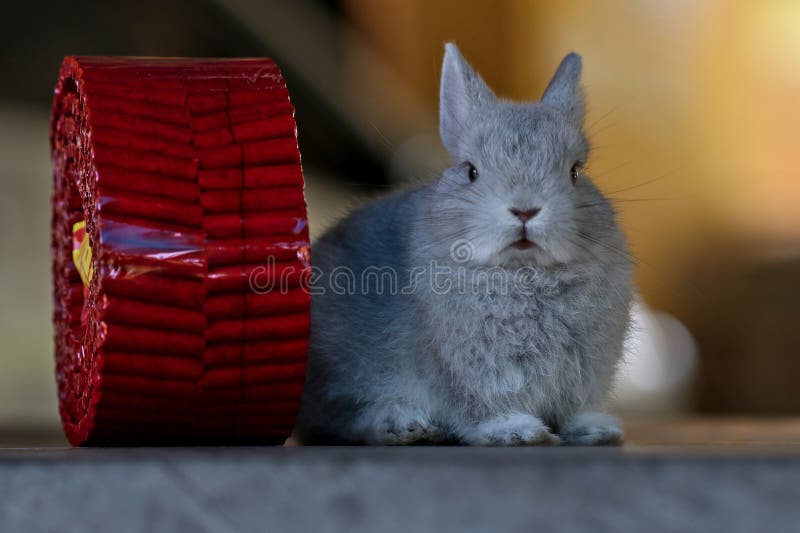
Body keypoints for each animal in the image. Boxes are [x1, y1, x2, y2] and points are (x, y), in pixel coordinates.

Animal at [295, 43, 634, 446]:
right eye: (471, 171)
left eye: (575, 172)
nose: (525, 209)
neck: (523, 272)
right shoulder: (466, 374)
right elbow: (479, 409)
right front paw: (516, 431)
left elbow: (571, 410)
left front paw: (594, 428)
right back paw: (403, 425)